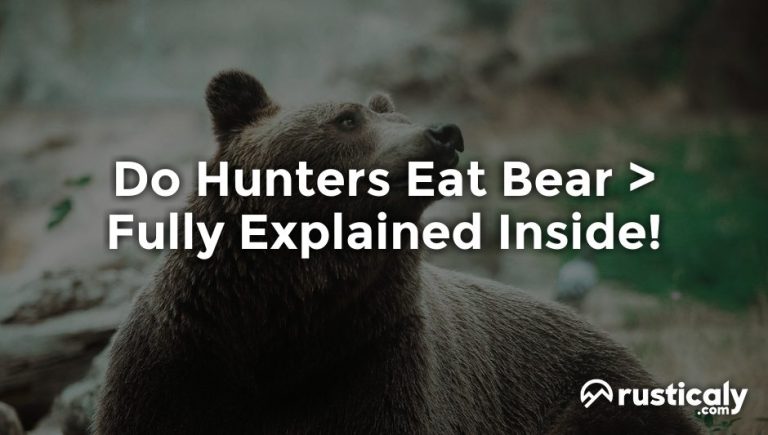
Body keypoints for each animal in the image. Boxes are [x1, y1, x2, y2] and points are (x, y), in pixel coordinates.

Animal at [95, 70, 702, 435]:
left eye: (399, 116)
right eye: (347, 117)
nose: (445, 133)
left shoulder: (374, 368)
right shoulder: (176, 370)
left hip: (593, 394)